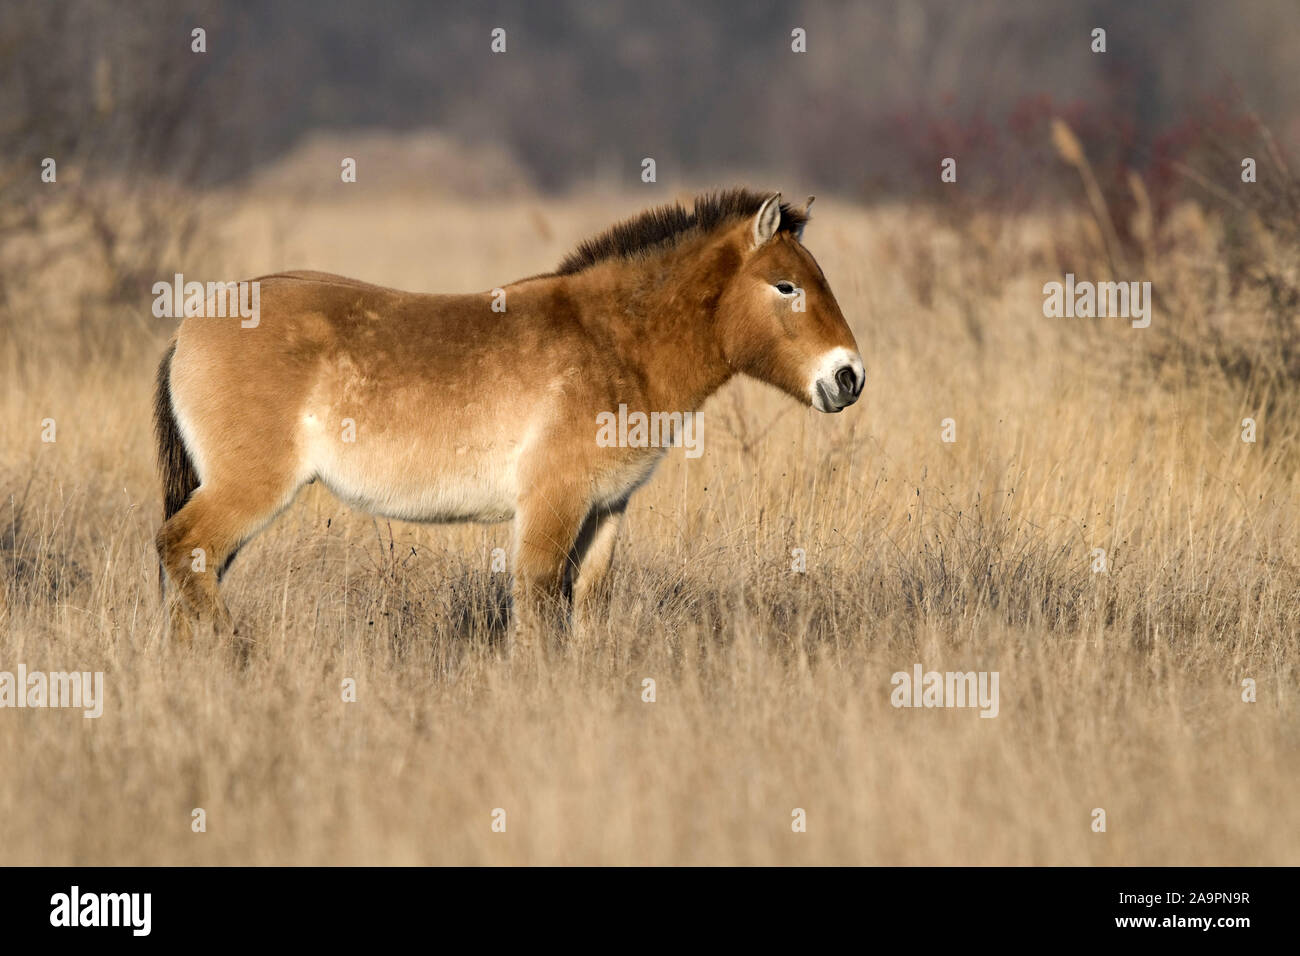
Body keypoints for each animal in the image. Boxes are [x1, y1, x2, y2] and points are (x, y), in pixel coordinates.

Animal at [153, 189, 864, 642]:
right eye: (786, 286)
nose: (848, 377)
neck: (612, 342)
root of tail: (188, 330)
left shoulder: (604, 510)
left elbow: (584, 613)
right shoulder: (551, 505)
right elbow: (537, 609)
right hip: (249, 491)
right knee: (182, 550)